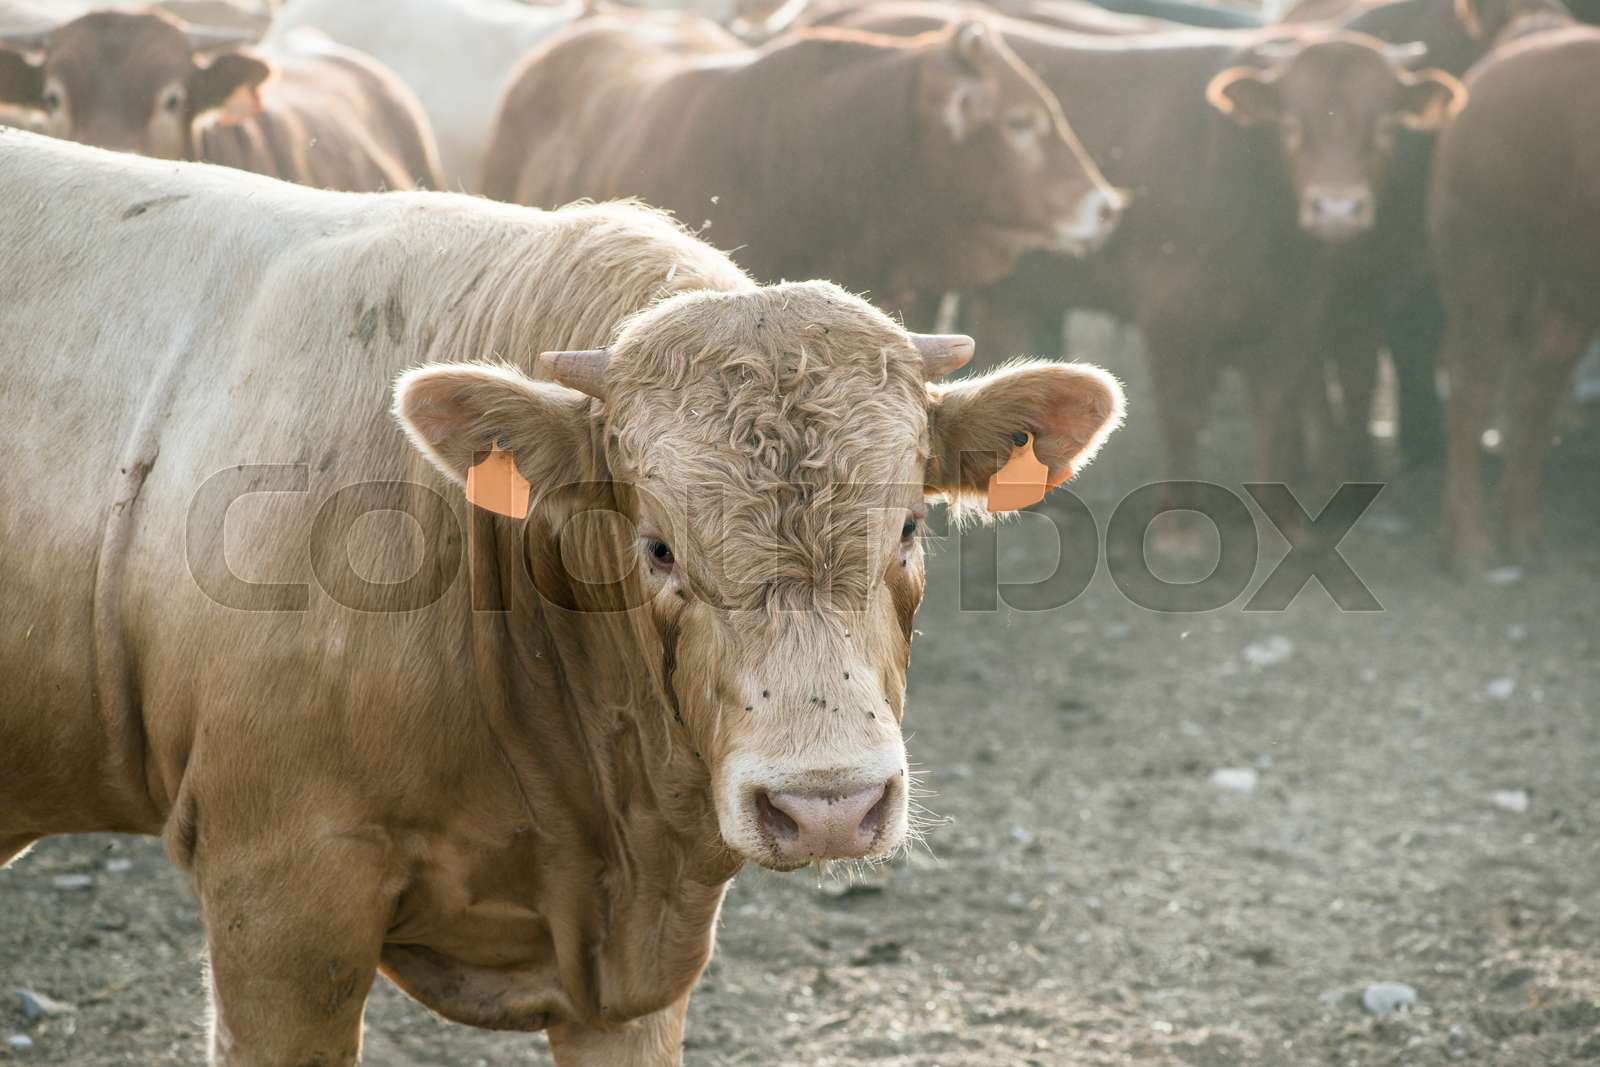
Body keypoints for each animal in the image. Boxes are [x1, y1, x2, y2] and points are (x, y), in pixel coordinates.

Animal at [1429, 21, 1598, 568]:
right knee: (1472, 392)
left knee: (1534, 392)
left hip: (1565, 291)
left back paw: (1522, 537)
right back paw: (1470, 550)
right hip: (1483, 270)